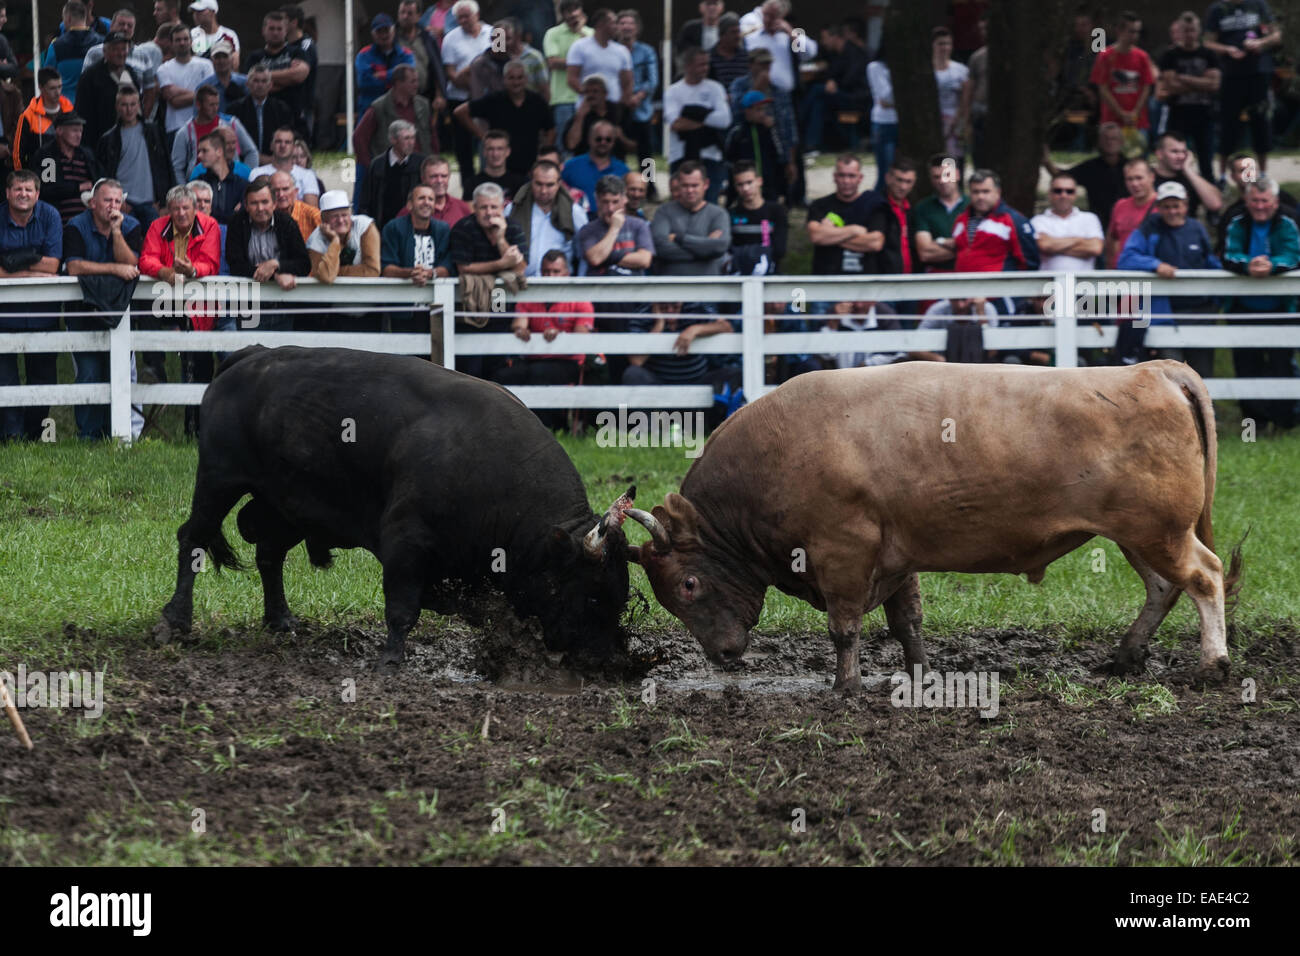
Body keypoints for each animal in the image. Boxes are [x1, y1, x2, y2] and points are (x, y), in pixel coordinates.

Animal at [155, 346, 632, 669]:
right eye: (592, 596)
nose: (606, 659)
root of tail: (251, 355)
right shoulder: (406, 541)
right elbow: (402, 607)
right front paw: (390, 658)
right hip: (219, 480)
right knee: (193, 538)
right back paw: (177, 619)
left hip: (288, 506)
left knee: (269, 555)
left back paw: (280, 619)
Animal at [620, 360, 1243, 691]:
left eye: (688, 584)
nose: (723, 655)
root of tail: (1153, 369)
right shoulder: (897, 555)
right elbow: (908, 622)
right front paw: (920, 675)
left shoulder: (843, 551)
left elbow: (845, 627)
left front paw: (845, 684)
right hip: (1141, 533)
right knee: (1164, 587)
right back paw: (1125, 655)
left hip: (1160, 531)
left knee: (1205, 576)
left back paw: (1213, 661)